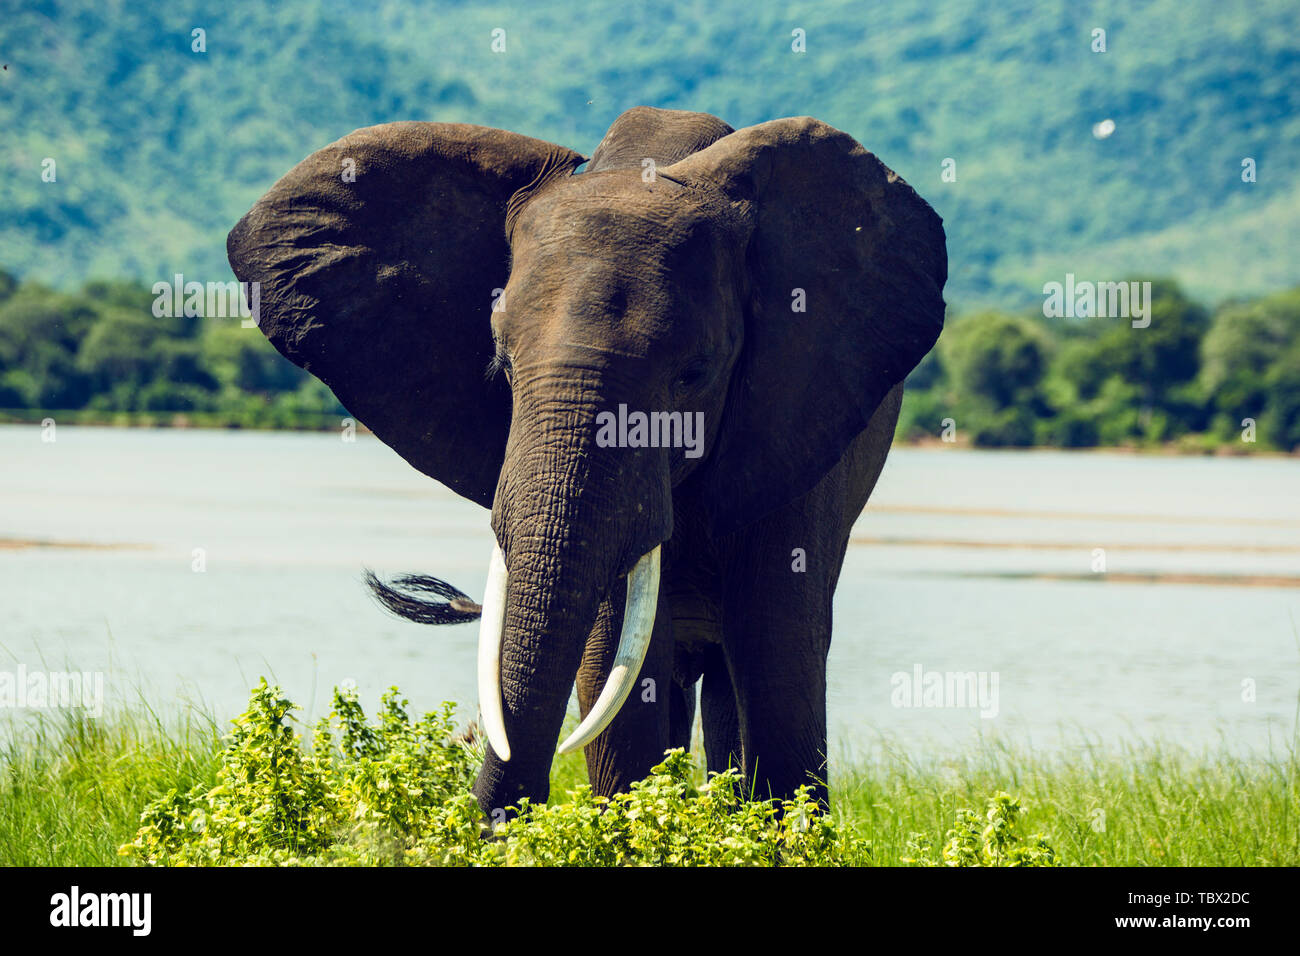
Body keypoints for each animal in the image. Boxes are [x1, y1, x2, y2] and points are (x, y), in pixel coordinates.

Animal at [227, 106, 947, 818]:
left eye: (695, 374)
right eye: (501, 364)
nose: (497, 812)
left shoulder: (798, 417)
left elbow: (779, 652)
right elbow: (613, 671)